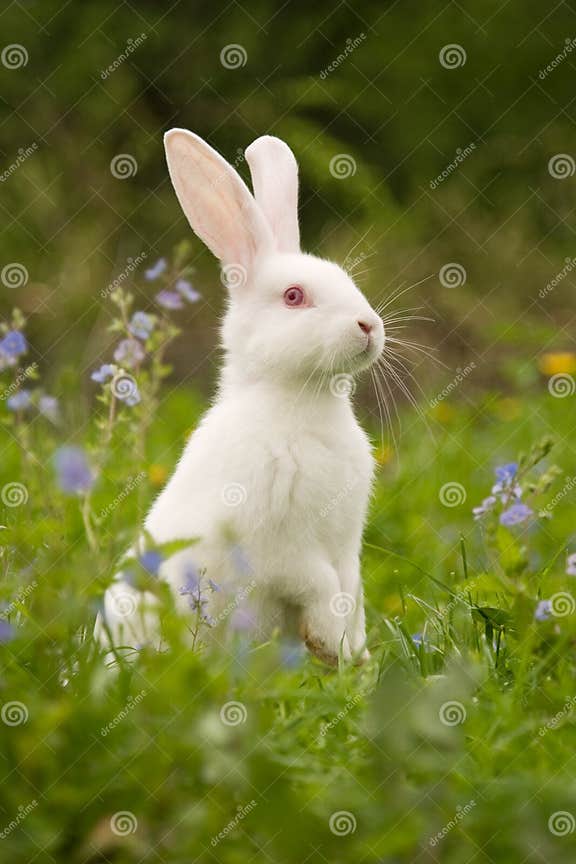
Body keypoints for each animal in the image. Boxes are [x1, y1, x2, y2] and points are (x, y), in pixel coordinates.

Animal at [96, 129, 385, 667]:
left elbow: (349, 590)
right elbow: (318, 584)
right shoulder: (280, 547)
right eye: (294, 297)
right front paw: (328, 644)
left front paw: (352, 656)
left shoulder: (345, 545)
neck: (301, 403)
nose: (369, 326)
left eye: (347, 280)